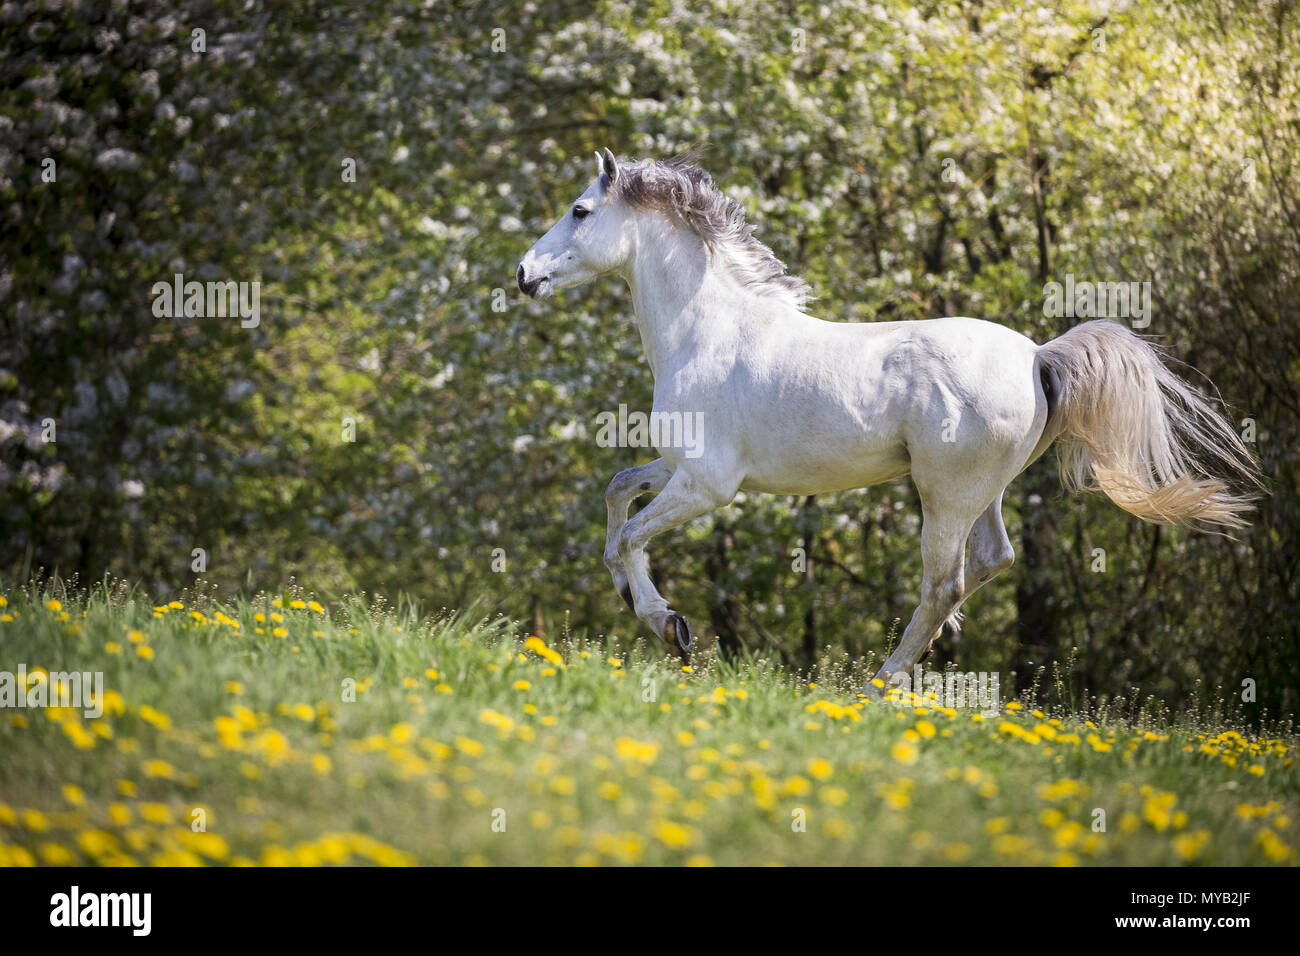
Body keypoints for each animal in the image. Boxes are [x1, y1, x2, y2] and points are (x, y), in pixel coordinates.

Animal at [517, 149, 1262, 696]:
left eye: (580, 210)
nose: (524, 274)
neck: (709, 330)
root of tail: (1037, 356)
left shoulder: (707, 486)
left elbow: (629, 537)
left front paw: (668, 624)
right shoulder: (676, 469)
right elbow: (618, 489)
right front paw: (638, 603)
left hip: (944, 495)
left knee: (945, 582)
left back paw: (880, 683)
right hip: (983, 494)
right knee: (992, 560)